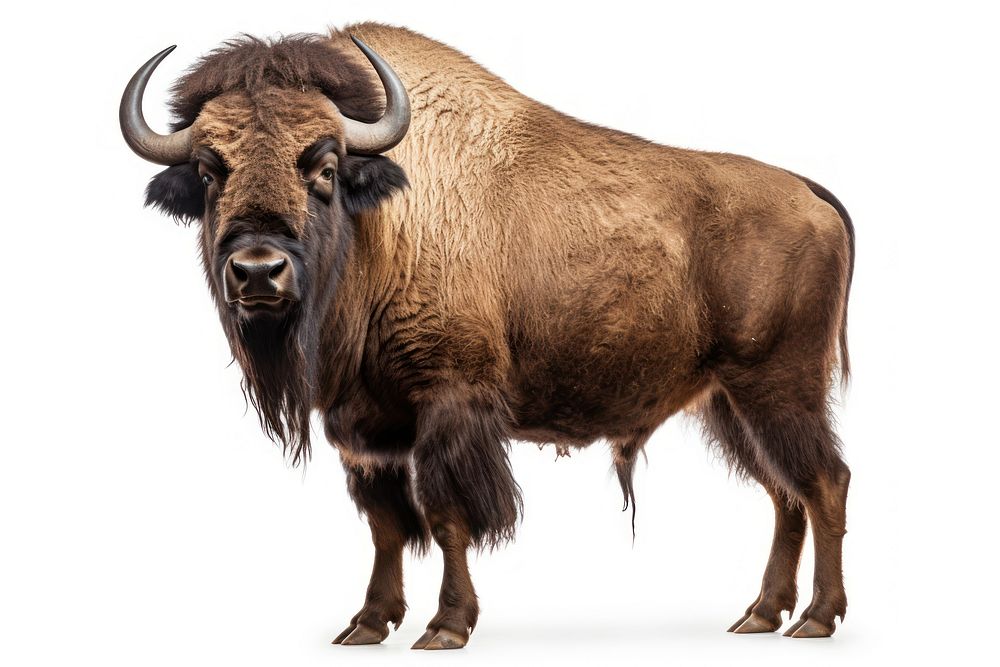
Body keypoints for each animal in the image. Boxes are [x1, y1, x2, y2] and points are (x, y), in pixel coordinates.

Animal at [120, 23, 854, 649]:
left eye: (325, 167)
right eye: (209, 170)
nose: (257, 270)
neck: (381, 217)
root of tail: (810, 195)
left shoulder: (449, 402)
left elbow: (448, 515)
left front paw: (446, 626)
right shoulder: (364, 429)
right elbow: (387, 524)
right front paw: (367, 623)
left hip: (777, 387)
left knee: (823, 482)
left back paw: (815, 618)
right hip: (731, 402)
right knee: (785, 493)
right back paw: (762, 613)